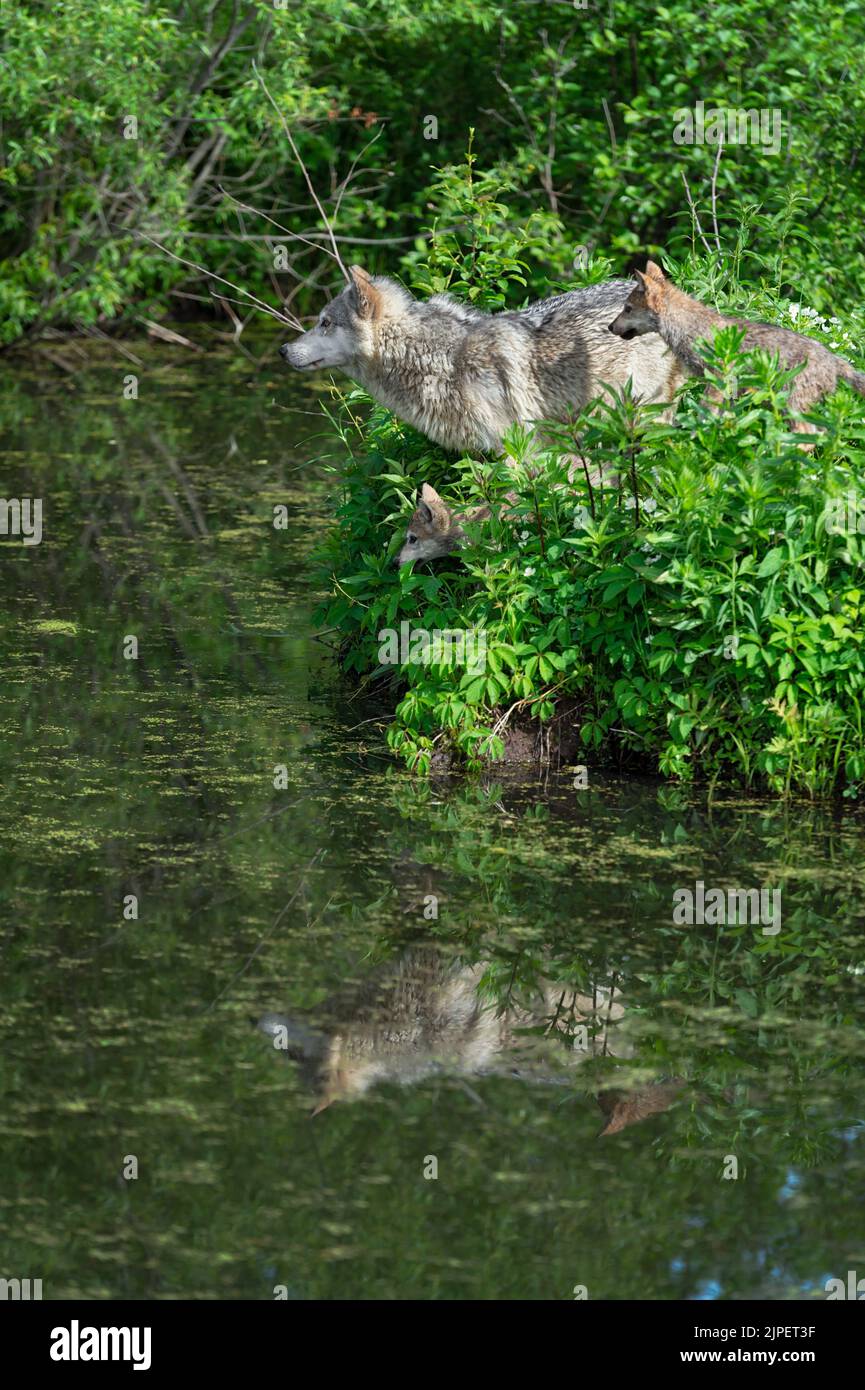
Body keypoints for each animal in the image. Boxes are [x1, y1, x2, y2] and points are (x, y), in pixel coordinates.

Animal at [609, 260, 865, 433]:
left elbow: (704, 416)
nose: (610, 327)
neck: (688, 328)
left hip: (790, 404)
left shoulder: (717, 379)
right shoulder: (727, 388)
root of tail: (835, 360)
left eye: (627, 309)